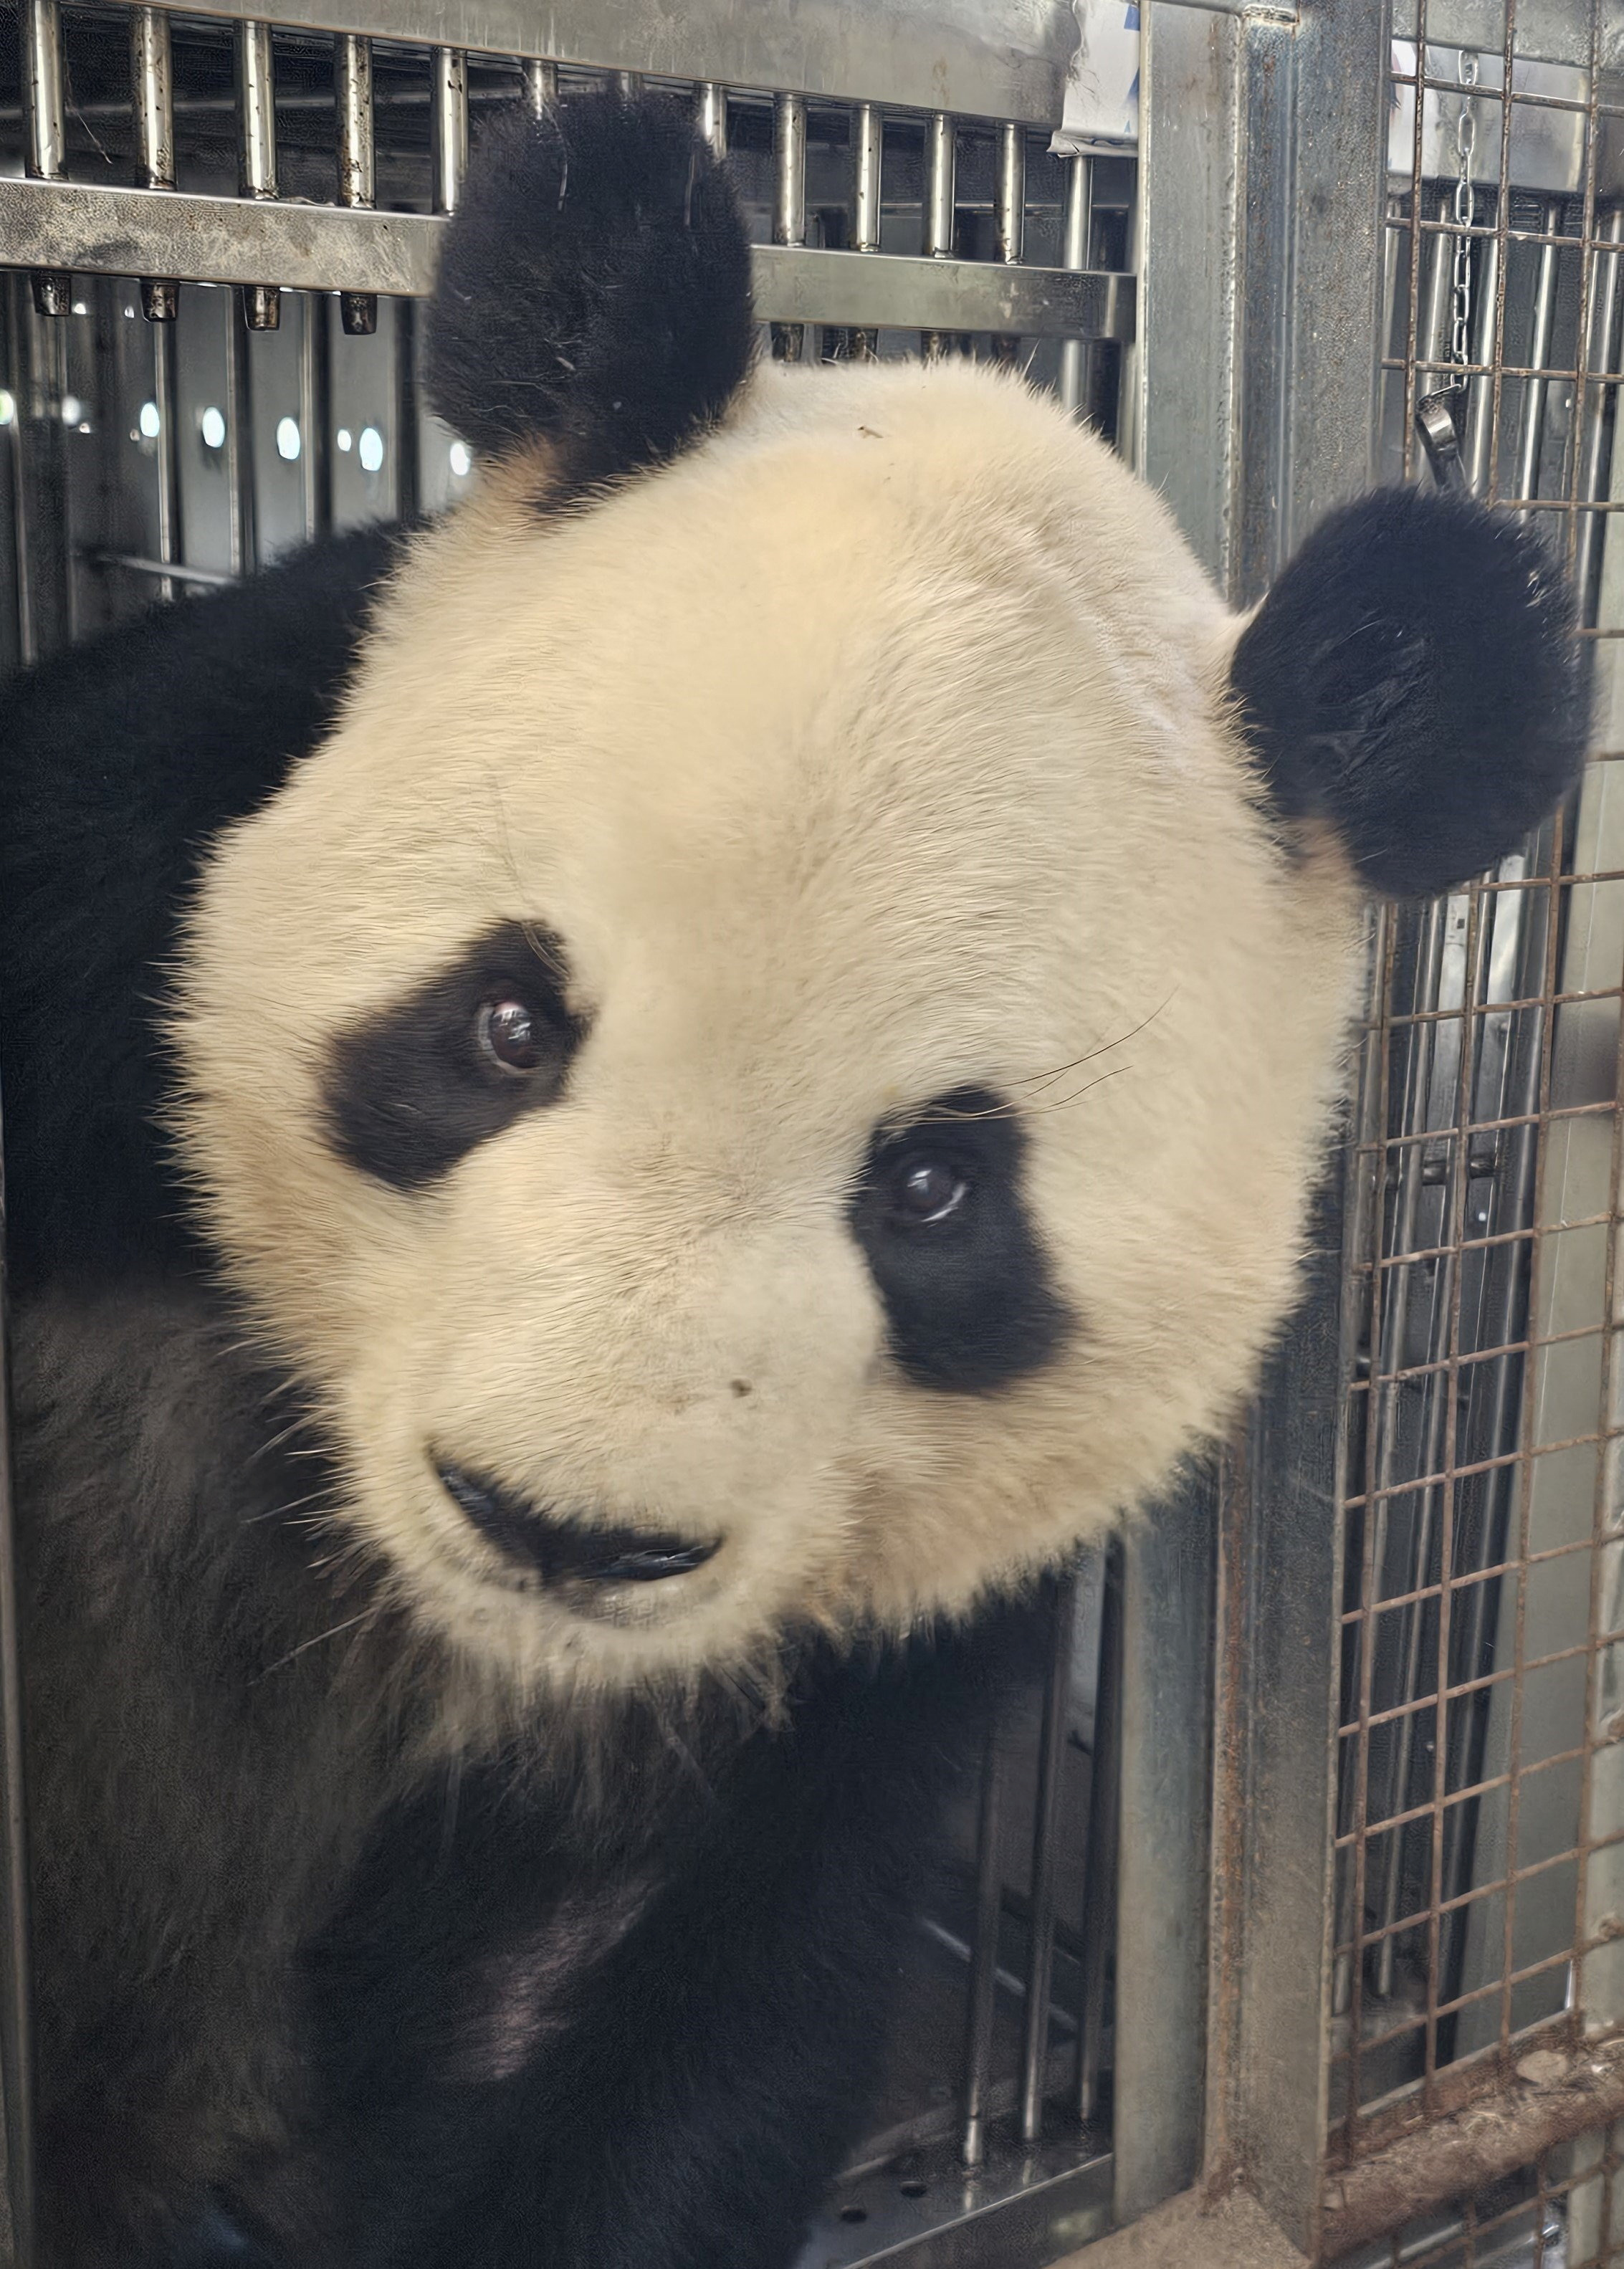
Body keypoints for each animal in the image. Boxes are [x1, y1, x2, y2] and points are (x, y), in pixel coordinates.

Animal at [0, 90, 1588, 2269]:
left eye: (930, 1191)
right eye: (509, 1025)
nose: (560, 1523)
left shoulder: (869, 1653)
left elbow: (669, 2023)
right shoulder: (117, 881)